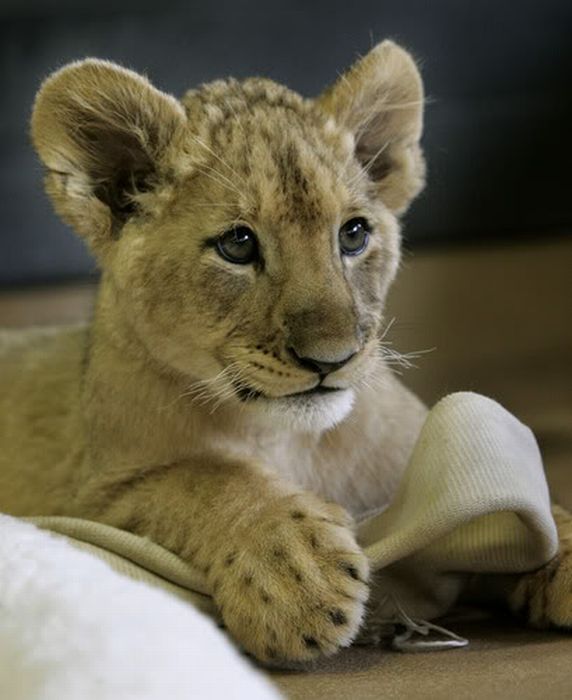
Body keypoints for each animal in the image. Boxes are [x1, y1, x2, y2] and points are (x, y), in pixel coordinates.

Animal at [0, 41, 570, 664]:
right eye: (238, 244)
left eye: (353, 234)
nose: (331, 359)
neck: (291, 439)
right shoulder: (92, 496)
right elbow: (200, 478)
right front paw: (295, 577)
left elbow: (537, 506)